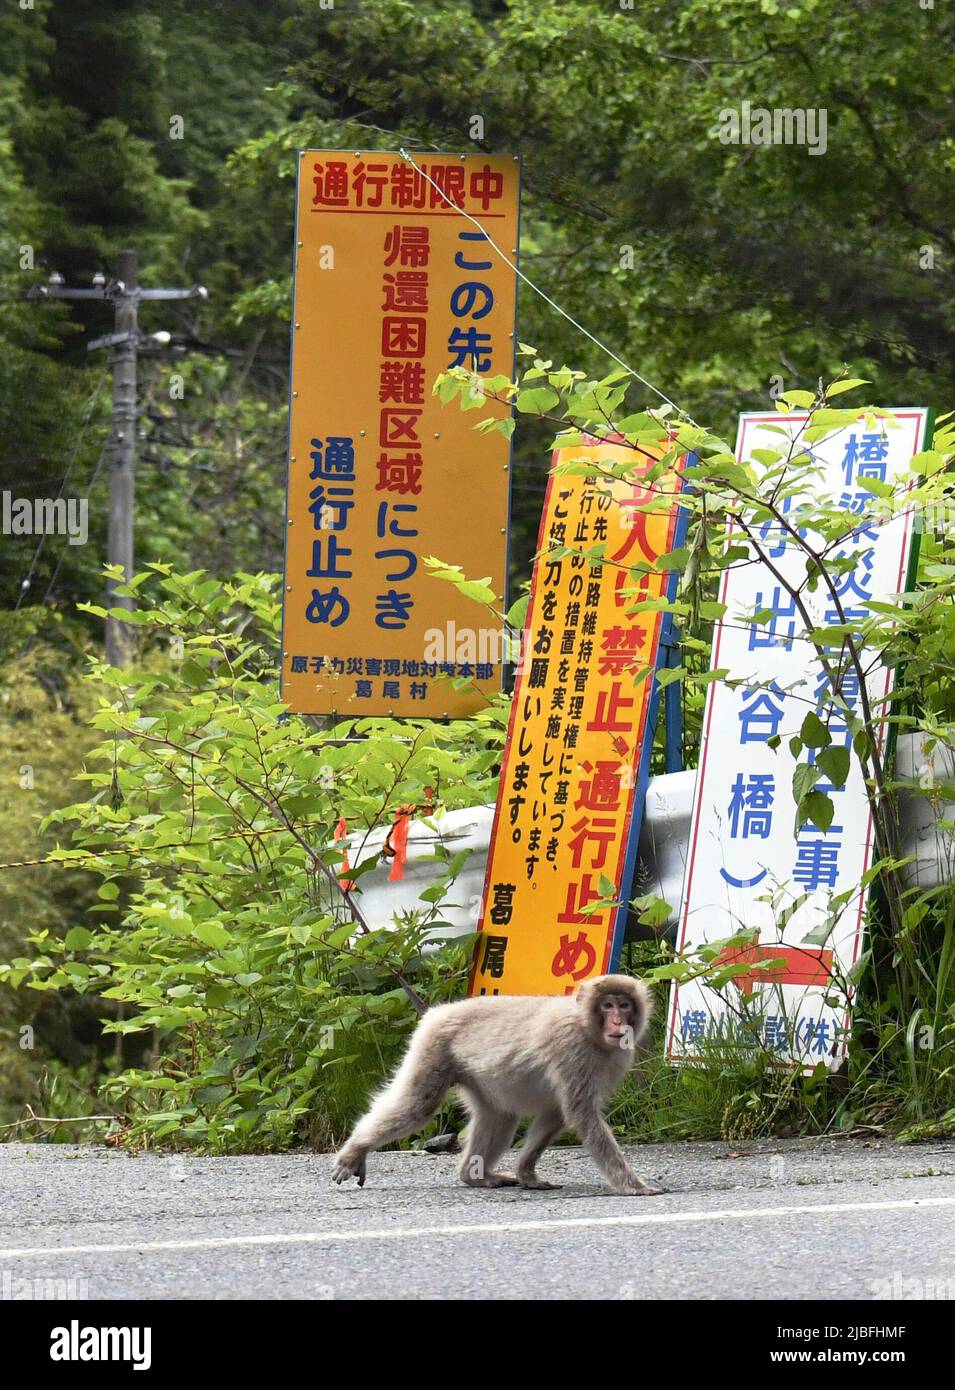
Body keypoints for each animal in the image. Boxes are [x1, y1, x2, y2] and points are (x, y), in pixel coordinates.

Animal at [331, 974, 662, 1197]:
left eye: (624, 1005)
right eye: (607, 1005)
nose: (618, 1022)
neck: (586, 1028)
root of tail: (438, 1011)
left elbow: (557, 1112)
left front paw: (527, 1174)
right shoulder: (570, 1049)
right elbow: (581, 1114)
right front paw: (632, 1185)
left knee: (499, 1116)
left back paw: (474, 1175)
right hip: (432, 1047)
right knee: (417, 1106)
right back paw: (355, 1150)